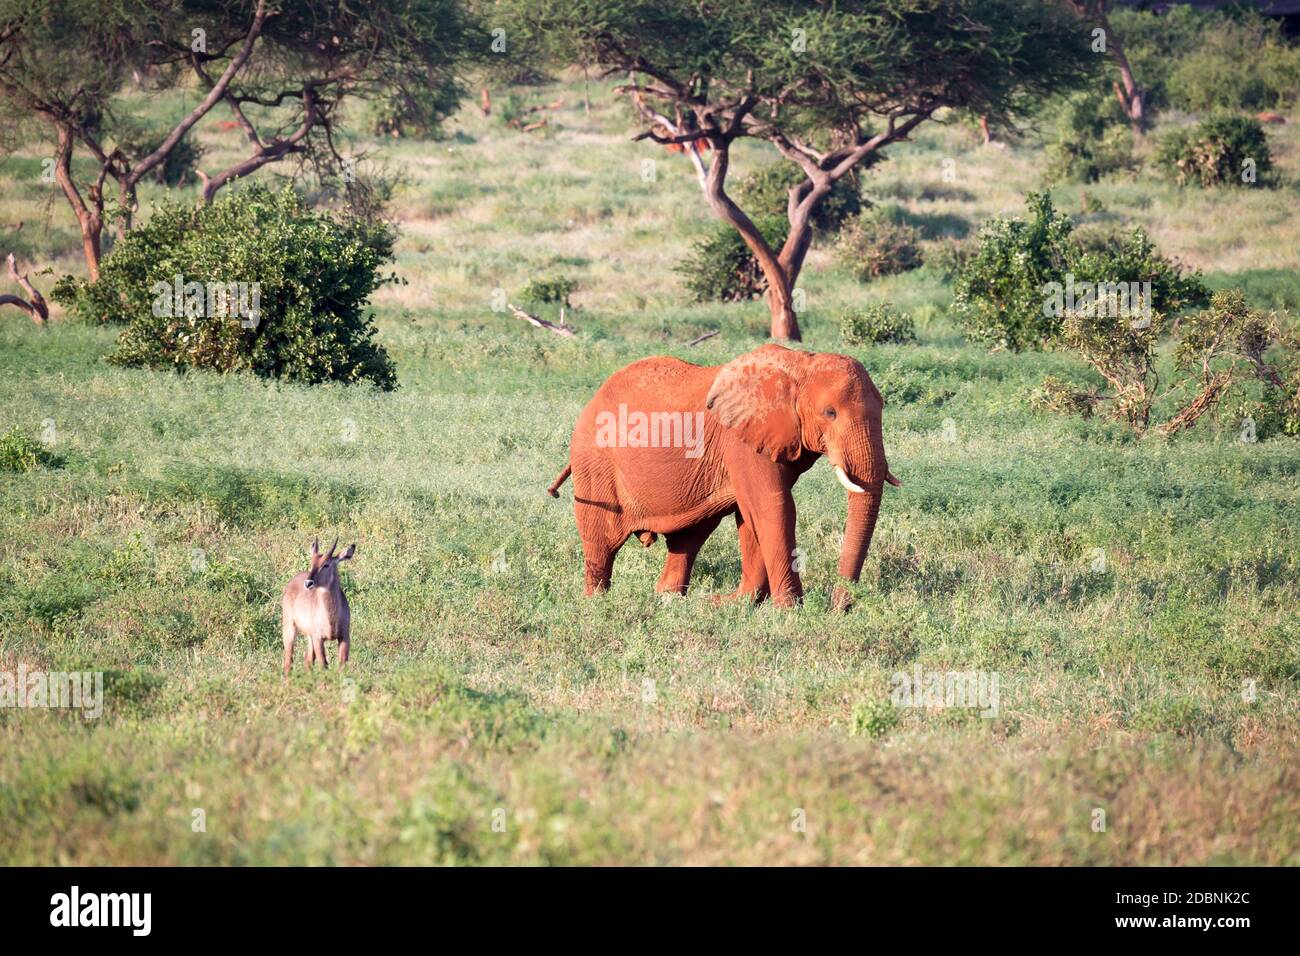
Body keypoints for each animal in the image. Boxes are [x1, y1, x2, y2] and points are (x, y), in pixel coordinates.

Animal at [546, 344, 900, 607]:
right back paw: (597, 603)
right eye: (830, 413)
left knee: (689, 537)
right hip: (595, 464)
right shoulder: (740, 441)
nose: (841, 607)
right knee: (601, 539)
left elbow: (752, 516)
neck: (800, 364)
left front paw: (745, 604)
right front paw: (791, 611)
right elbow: (774, 508)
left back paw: (670, 601)